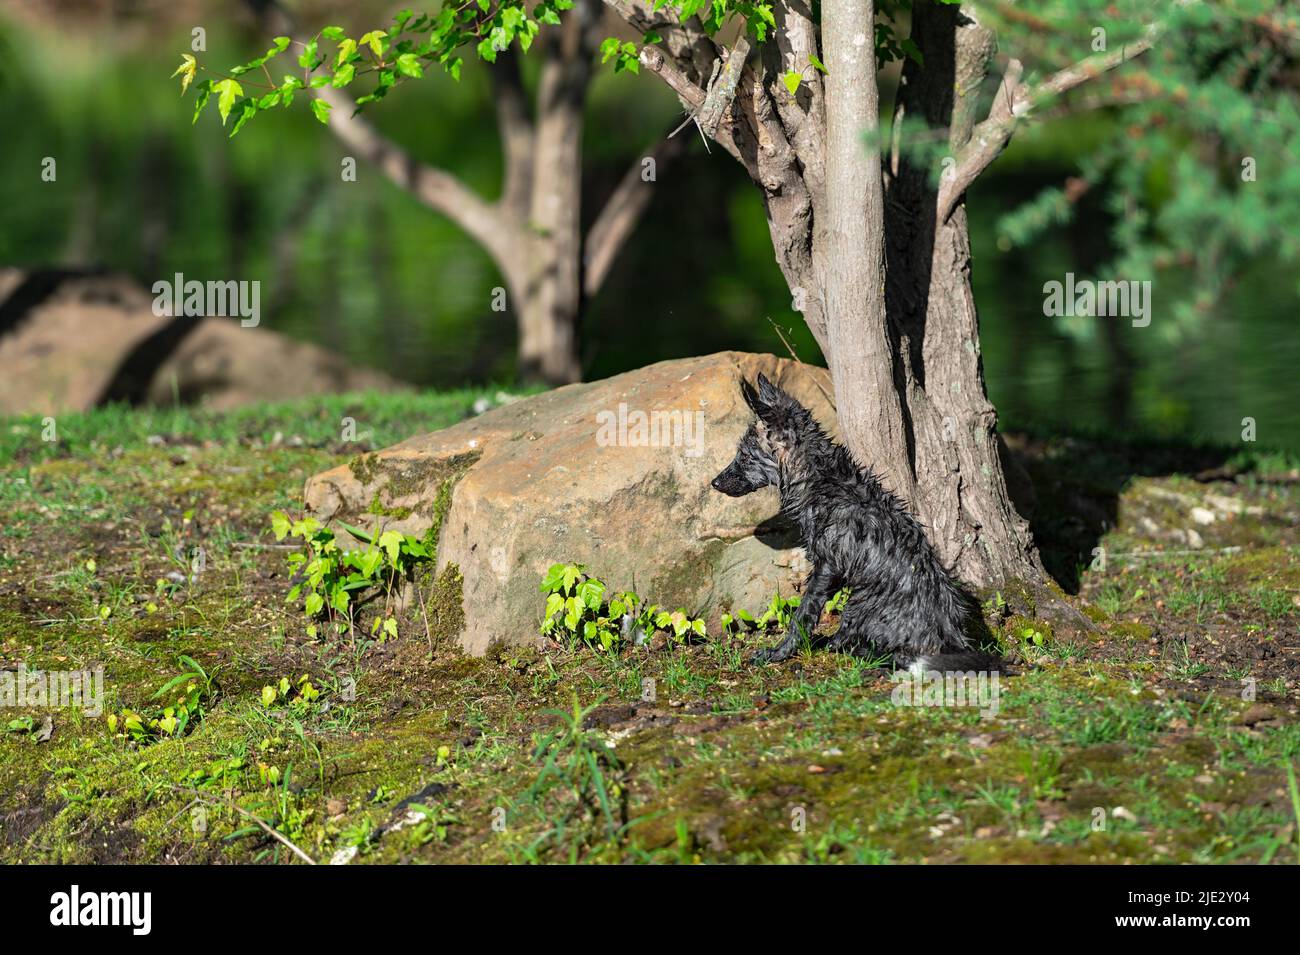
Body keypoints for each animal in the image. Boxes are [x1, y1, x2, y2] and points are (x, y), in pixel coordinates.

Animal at [710, 373, 1007, 673]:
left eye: (744, 456)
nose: (714, 483)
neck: (821, 479)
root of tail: (949, 637)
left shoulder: (827, 565)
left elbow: (803, 615)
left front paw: (779, 652)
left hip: (860, 601)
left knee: (891, 652)